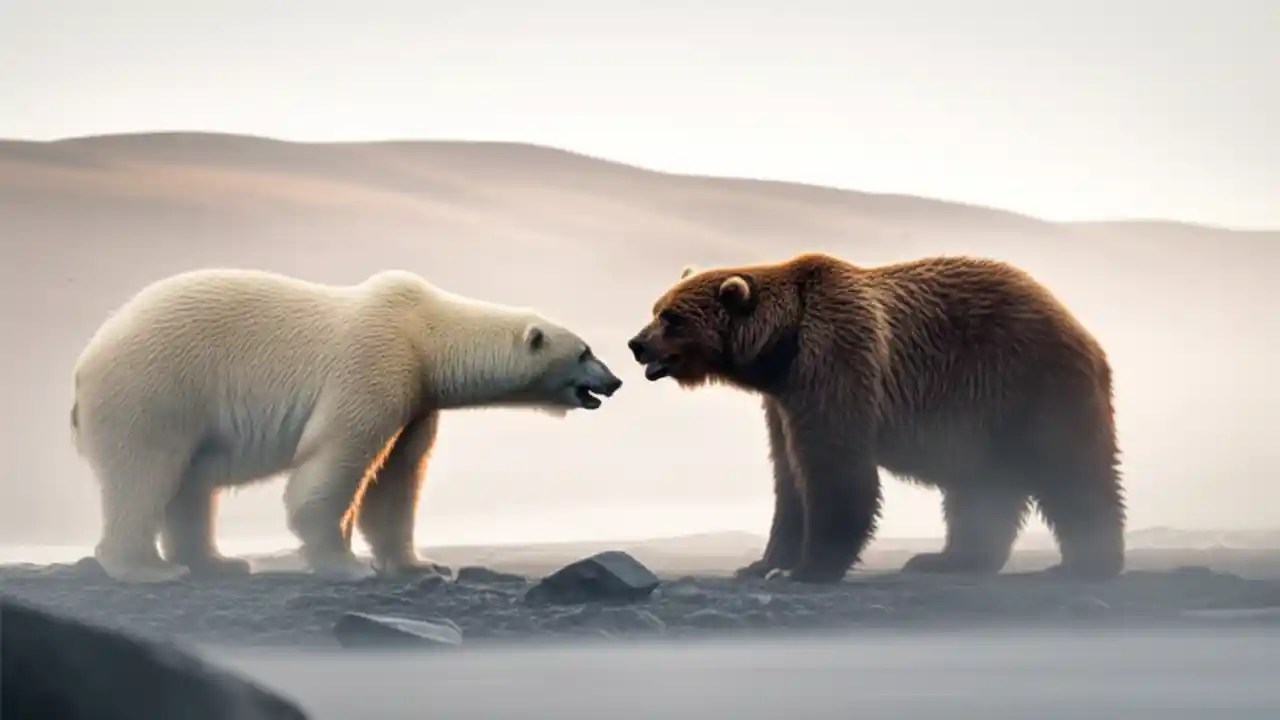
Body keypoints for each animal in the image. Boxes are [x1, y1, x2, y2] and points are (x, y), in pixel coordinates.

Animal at [71, 268, 622, 584]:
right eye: (585, 351)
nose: (615, 380)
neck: (422, 332)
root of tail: (85, 362)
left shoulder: (416, 400)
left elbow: (398, 478)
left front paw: (419, 564)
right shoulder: (374, 364)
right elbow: (336, 460)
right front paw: (344, 564)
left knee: (190, 486)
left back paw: (218, 562)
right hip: (155, 388)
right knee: (145, 474)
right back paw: (147, 570)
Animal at [627, 252, 1124, 584]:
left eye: (671, 317)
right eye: (656, 308)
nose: (637, 343)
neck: (782, 348)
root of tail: (1078, 324)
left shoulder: (836, 361)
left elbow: (836, 469)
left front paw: (809, 567)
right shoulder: (783, 401)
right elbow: (788, 477)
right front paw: (762, 563)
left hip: (1031, 384)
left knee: (1072, 469)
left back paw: (1089, 562)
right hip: (980, 422)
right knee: (982, 490)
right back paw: (949, 560)